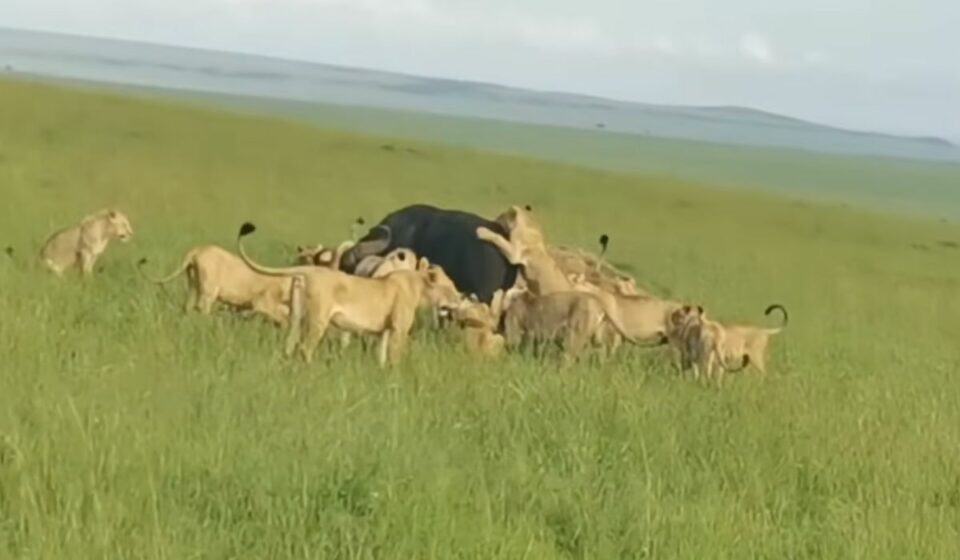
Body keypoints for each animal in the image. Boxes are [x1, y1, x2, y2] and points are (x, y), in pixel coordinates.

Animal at [138, 245, 295, 326]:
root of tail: (197, 250)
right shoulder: (262, 304)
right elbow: (284, 320)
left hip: (193, 285)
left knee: (188, 307)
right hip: (208, 292)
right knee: (202, 309)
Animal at [237, 223, 463, 367]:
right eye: (450, 286)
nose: (460, 299)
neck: (415, 283)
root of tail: (308, 271)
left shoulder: (383, 332)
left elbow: (381, 358)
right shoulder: (399, 330)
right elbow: (394, 359)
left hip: (296, 318)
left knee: (289, 345)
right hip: (317, 320)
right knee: (304, 348)